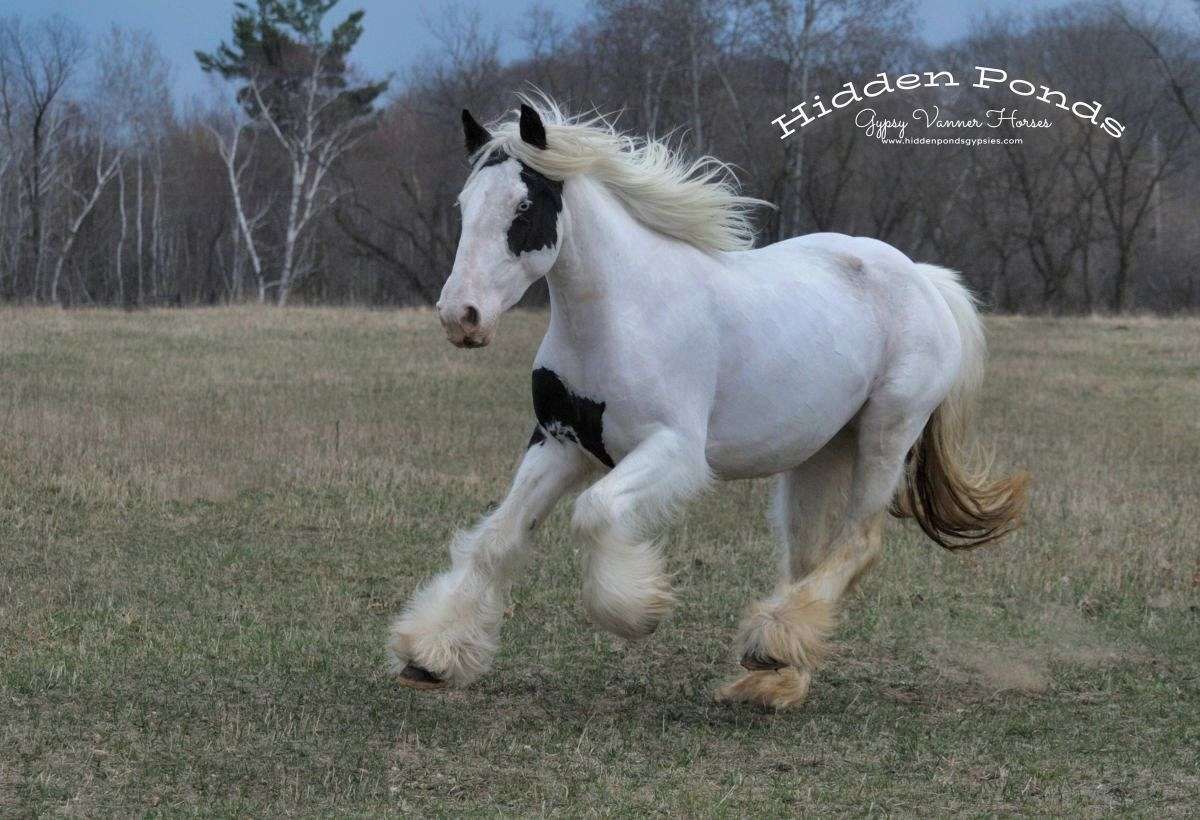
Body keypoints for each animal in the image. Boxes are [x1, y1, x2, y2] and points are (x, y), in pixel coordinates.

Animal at [387, 95, 1028, 708]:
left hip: (886, 436)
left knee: (859, 544)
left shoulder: (673, 451)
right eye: (464, 205)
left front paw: (636, 611)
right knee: (810, 556)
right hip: (818, 455)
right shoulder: (560, 444)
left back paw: (770, 650)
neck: (619, 315)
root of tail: (925, 280)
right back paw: (775, 675)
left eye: (524, 207)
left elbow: (595, 513)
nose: (461, 317)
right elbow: (497, 541)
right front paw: (431, 656)